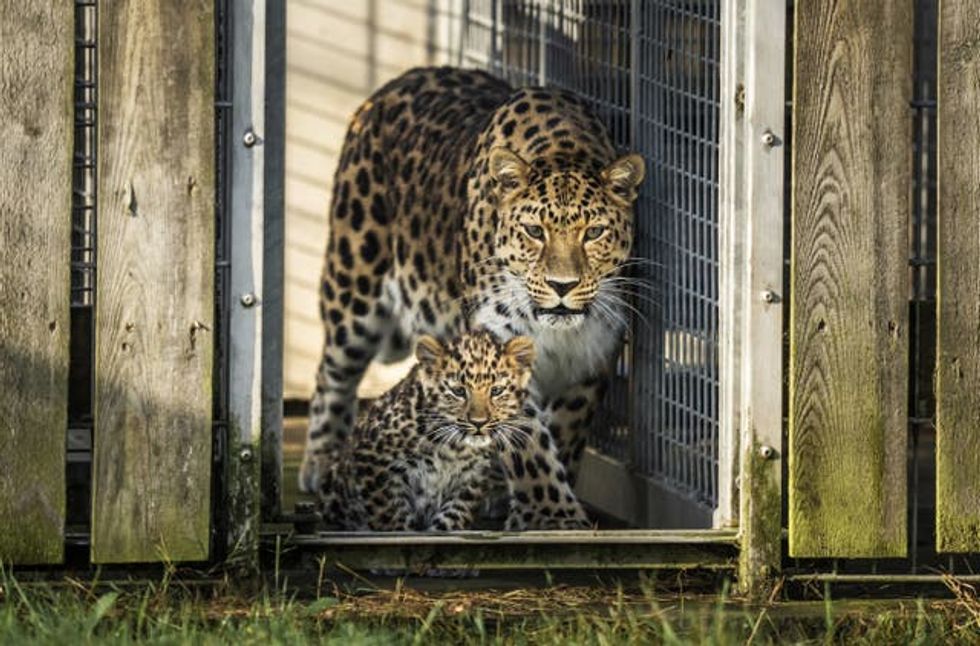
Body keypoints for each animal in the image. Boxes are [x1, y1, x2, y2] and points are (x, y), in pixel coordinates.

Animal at [319, 330, 588, 531]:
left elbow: (452, 517)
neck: (454, 448)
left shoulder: (471, 479)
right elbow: (391, 517)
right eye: (458, 391)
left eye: (496, 391)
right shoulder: (373, 463)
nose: (479, 422)